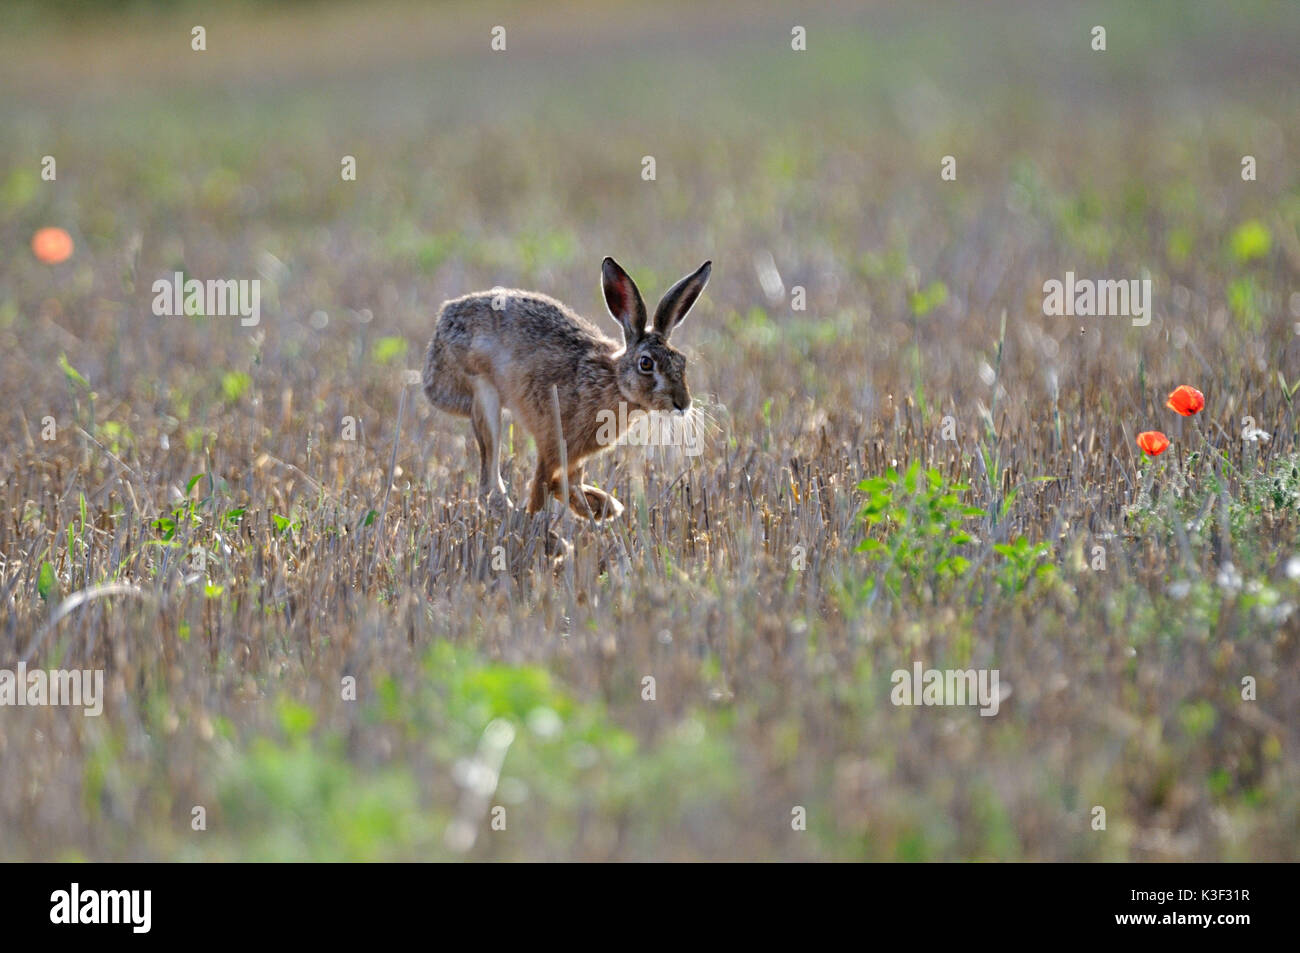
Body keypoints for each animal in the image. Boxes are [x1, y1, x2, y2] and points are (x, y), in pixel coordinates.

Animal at [422, 257, 711, 519]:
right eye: (646, 363)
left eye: (682, 361)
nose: (683, 404)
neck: (613, 380)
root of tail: (442, 322)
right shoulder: (552, 443)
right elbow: (540, 488)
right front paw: (537, 521)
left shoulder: (577, 456)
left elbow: (565, 483)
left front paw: (598, 508)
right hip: (483, 396)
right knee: (488, 483)